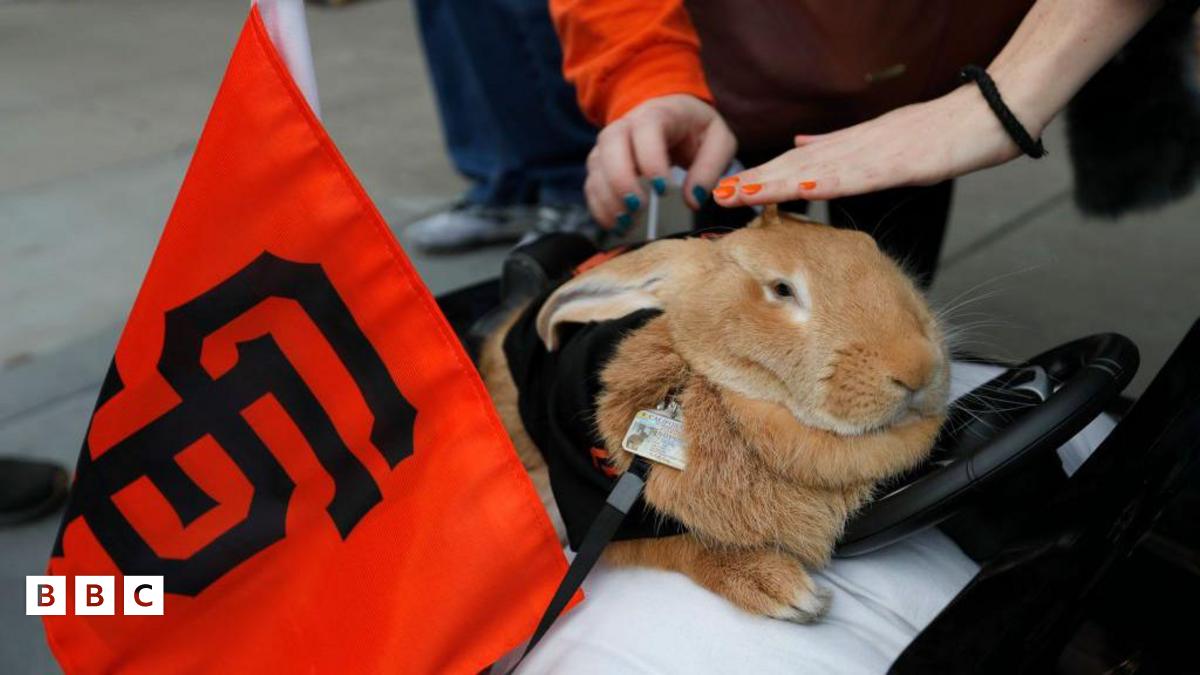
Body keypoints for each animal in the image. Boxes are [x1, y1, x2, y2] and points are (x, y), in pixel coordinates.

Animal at [479, 205, 950, 623]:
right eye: (781, 289)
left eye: (869, 246)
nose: (918, 368)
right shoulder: (595, 501)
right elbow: (674, 544)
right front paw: (783, 590)